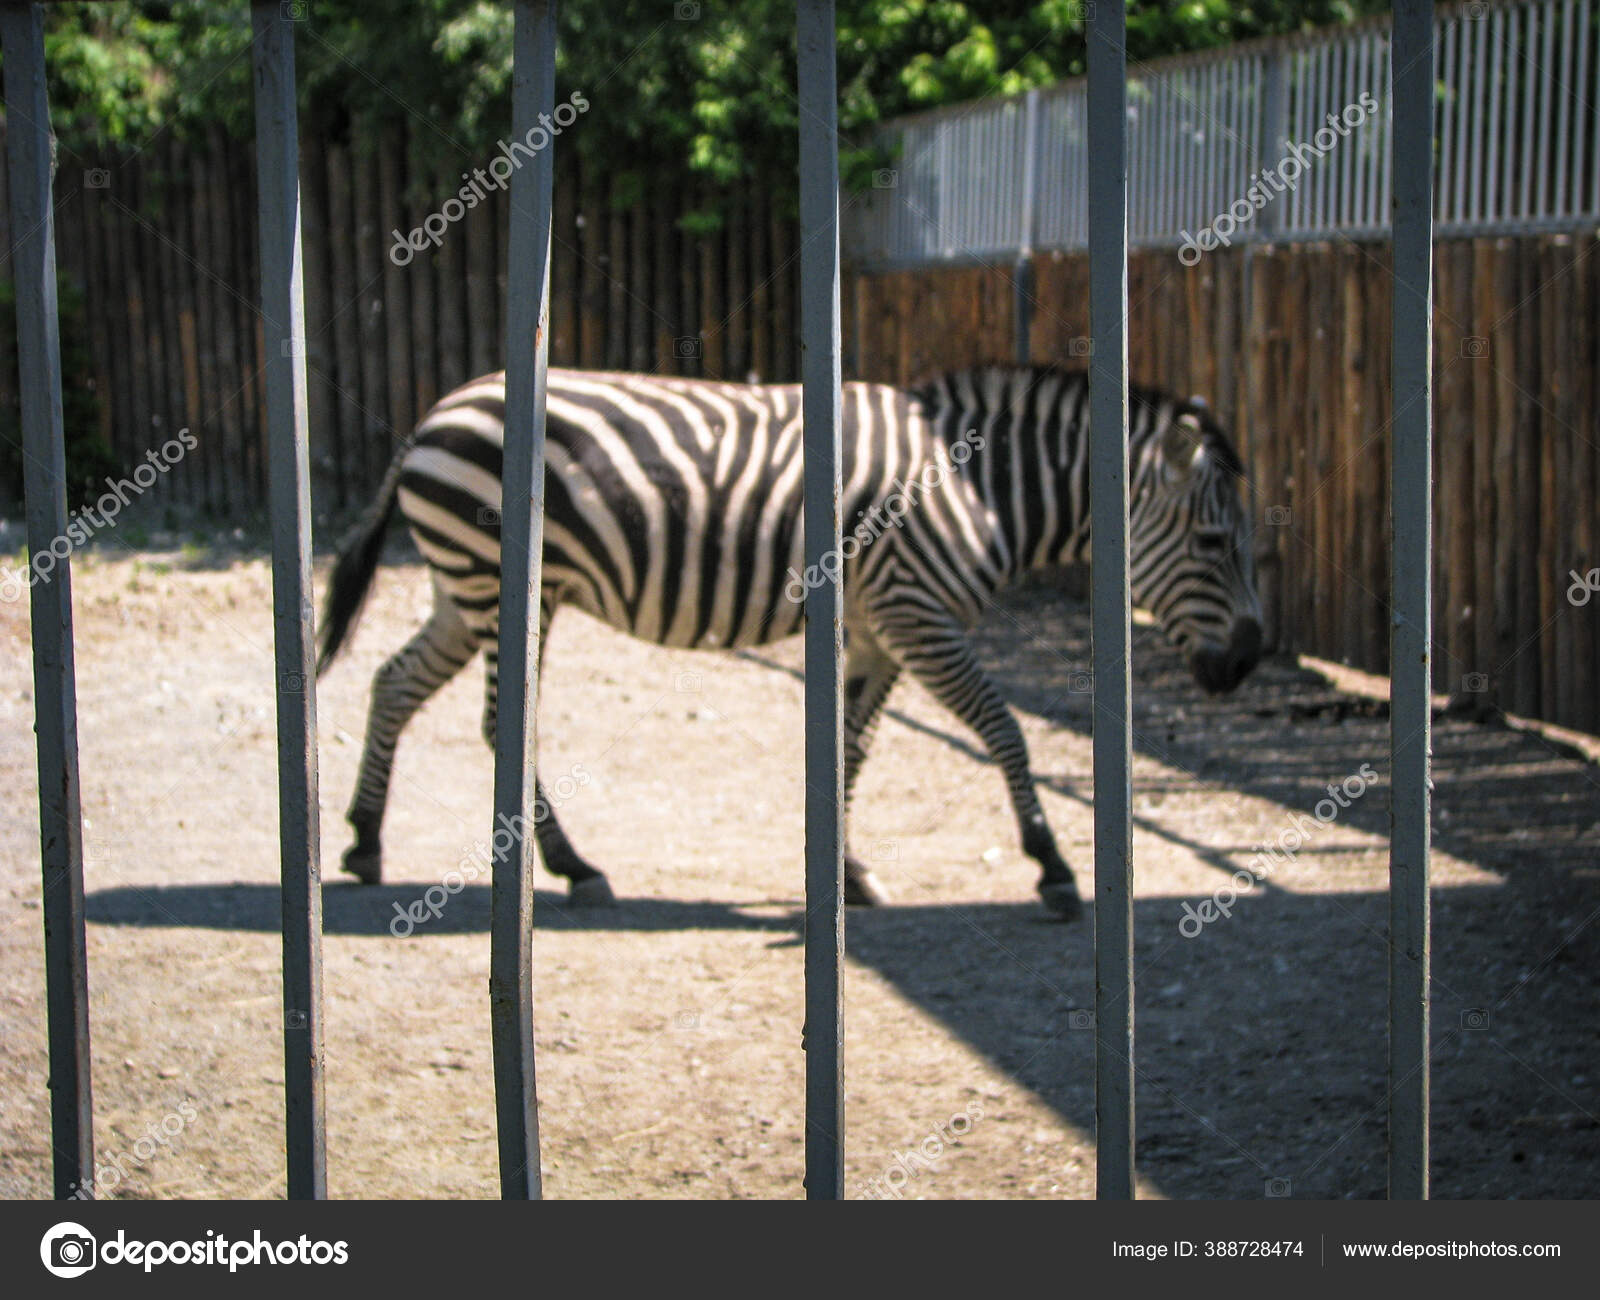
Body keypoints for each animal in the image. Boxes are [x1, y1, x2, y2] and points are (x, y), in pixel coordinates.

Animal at [316, 364, 1263, 921]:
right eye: (1216, 542)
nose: (1250, 662)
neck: (979, 487)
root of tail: (434, 414)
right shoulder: (919, 616)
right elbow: (1004, 729)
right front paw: (1053, 864)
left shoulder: (879, 632)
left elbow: (851, 750)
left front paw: (844, 872)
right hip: (504, 586)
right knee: (492, 725)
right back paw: (571, 865)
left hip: (462, 588)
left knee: (392, 682)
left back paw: (365, 840)